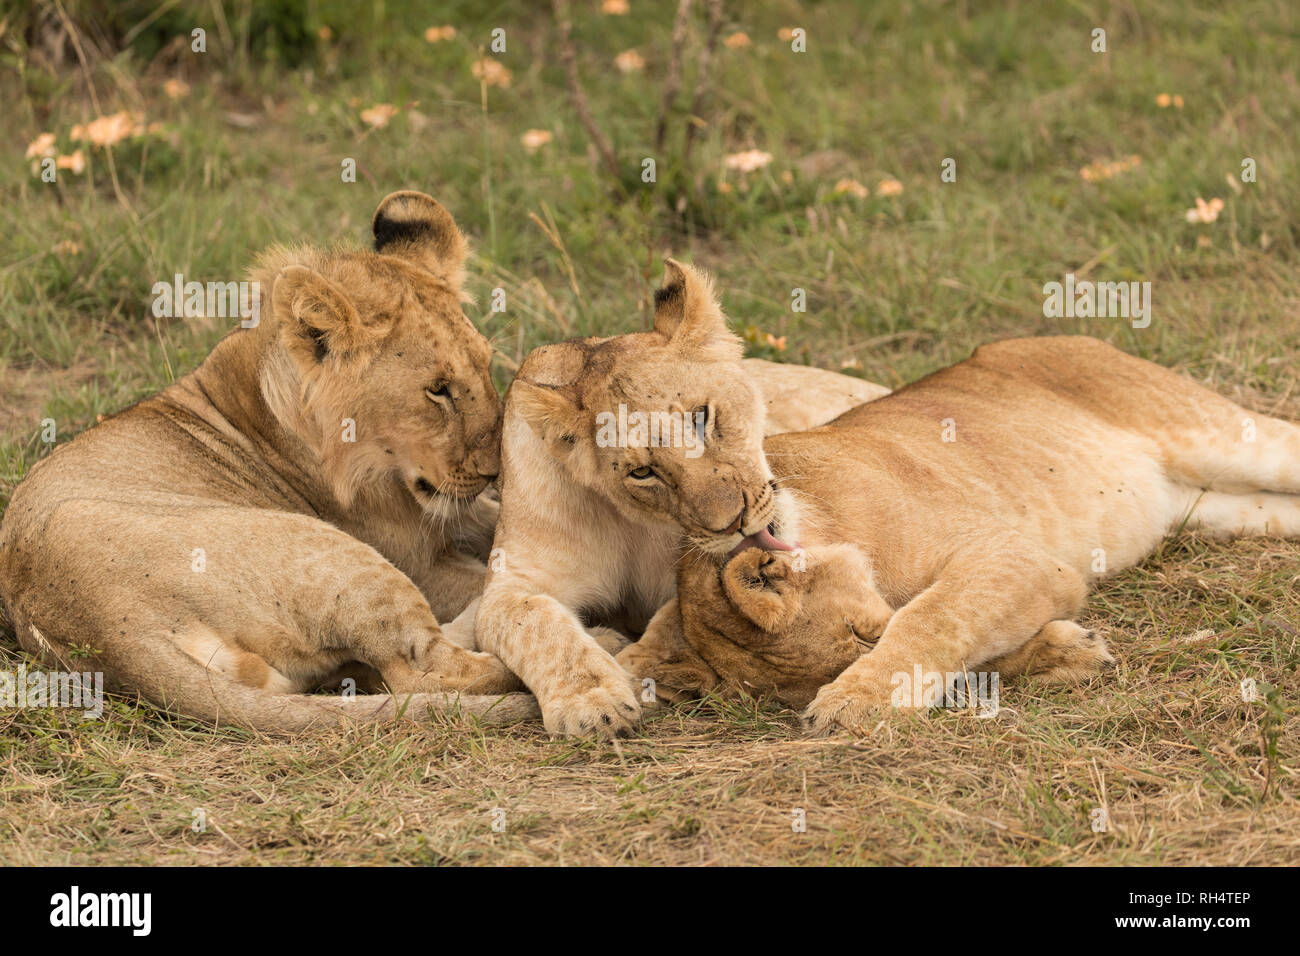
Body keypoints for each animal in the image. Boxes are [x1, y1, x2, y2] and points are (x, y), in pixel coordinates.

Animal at [0, 191, 537, 732]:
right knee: (425, 669)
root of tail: (114, 634)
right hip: (335, 555)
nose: (497, 472)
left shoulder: (459, 514)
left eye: (485, 363)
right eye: (437, 389)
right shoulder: (418, 558)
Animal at [474, 259, 889, 737]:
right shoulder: (513, 581)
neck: (631, 523)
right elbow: (536, 623)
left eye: (702, 417)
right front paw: (592, 703)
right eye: (642, 472)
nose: (735, 523)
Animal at [616, 335, 1300, 733]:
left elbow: (935, 616)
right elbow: (979, 650)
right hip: (1213, 507)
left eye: (865, 634)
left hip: (1215, 434)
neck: (821, 518)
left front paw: (859, 701)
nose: (729, 524)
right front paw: (1070, 651)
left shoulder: (1015, 555)